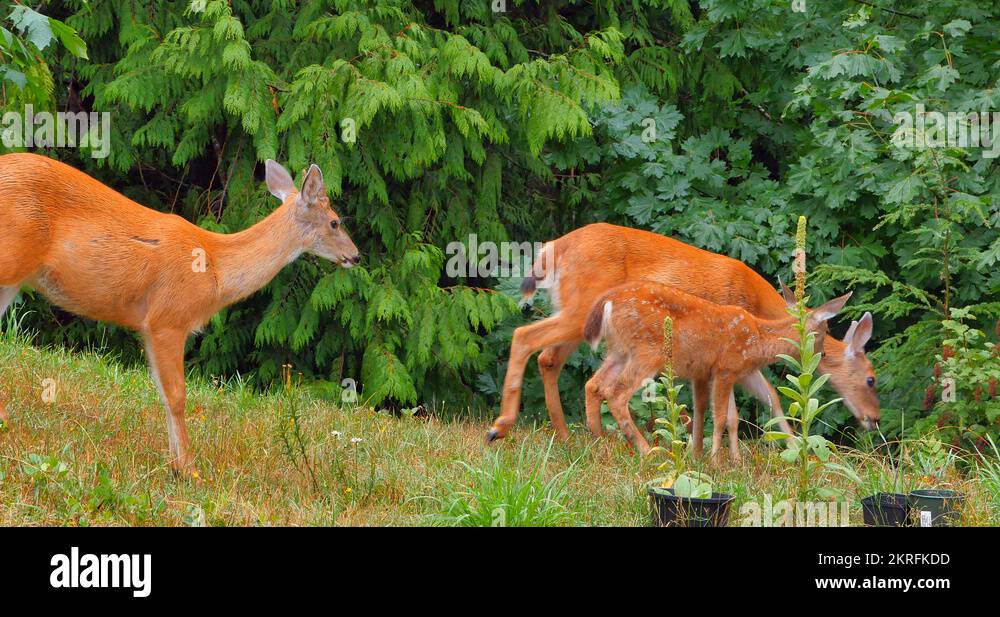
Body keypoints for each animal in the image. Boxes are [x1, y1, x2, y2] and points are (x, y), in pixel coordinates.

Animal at [0, 152, 360, 474]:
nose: (355, 256)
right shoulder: (167, 319)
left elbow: (162, 393)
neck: (215, 268)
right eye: (335, 221)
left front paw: (176, 463)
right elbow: (176, 396)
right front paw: (187, 470)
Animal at [580, 281, 853, 460]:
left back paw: (598, 440)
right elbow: (721, 416)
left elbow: (737, 415)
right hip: (648, 351)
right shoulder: (724, 368)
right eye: (825, 330)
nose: (823, 354)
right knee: (616, 393)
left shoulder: (734, 373)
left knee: (594, 385)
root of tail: (607, 302)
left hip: (619, 351)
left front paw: (737, 459)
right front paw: (714, 460)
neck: (758, 338)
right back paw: (647, 451)